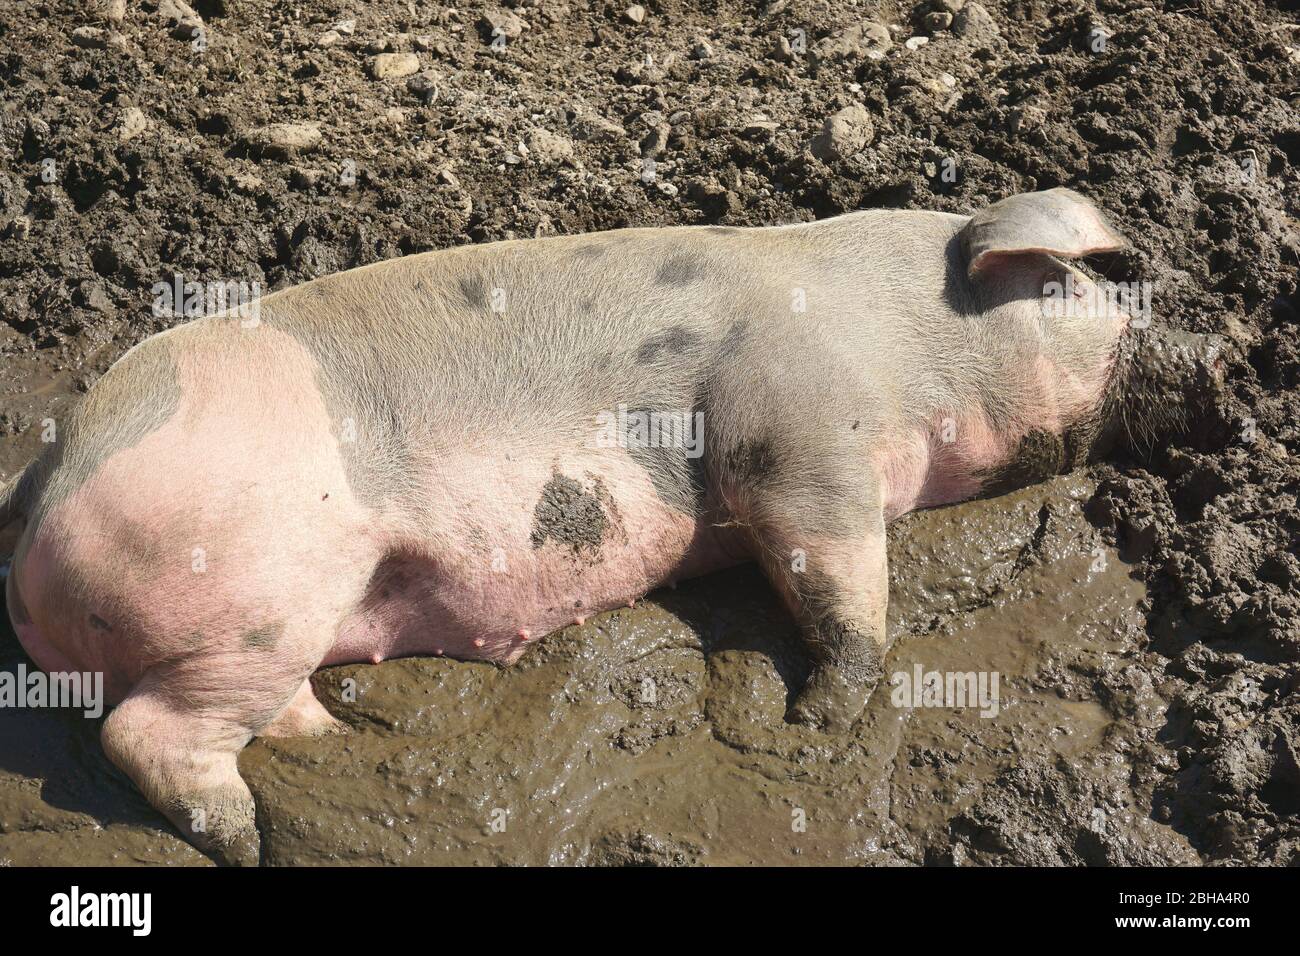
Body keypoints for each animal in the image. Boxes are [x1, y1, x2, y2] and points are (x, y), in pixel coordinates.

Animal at [0, 188, 1221, 864]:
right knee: (145, 735)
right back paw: (251, 838)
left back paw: (347, 743)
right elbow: (828, 560)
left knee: (255, 709)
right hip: (246, 588)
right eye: (1080, 284)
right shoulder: (793, 429)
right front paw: (819, 717)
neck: (907, 340)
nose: (1208, 359)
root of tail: (43, 494)